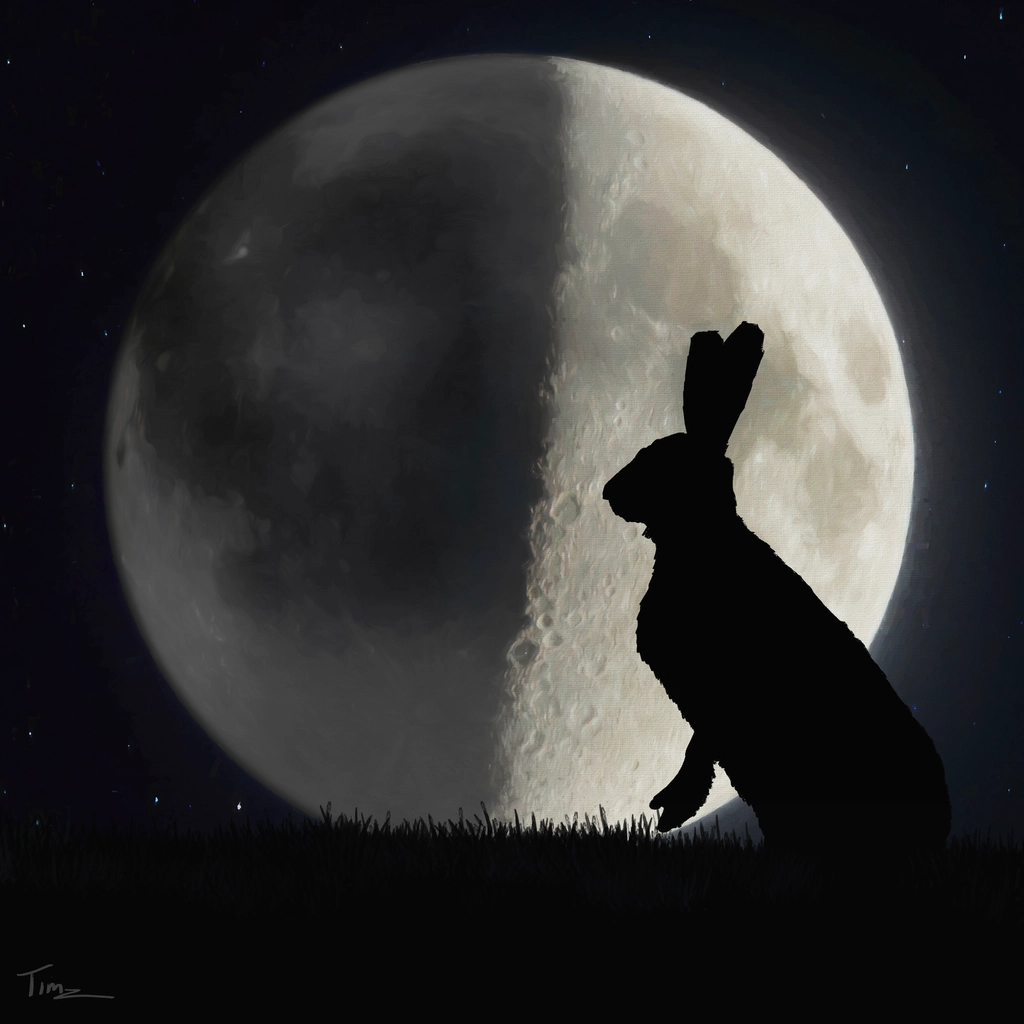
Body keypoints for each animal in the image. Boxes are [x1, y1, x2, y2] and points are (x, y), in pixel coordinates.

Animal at [602, 322, 951, 854]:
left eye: (657, 459)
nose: (609, 492)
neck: (703, 537)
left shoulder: (718, 692)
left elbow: (699, 751)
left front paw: (671, 808)